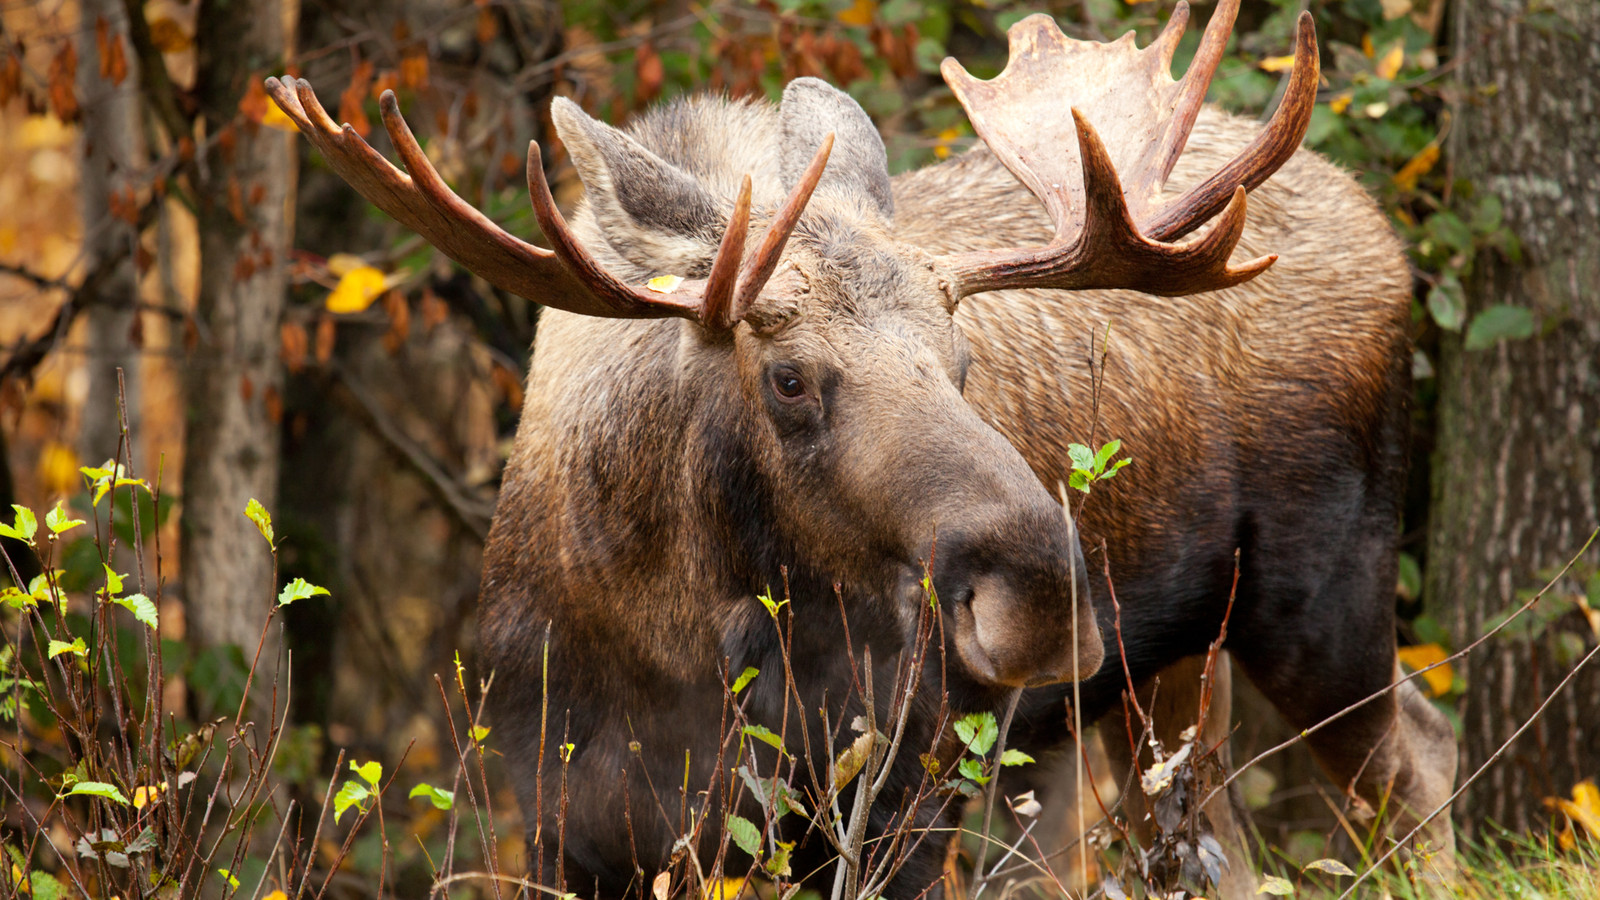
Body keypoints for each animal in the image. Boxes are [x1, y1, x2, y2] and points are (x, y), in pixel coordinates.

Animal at [265, 1, 1458, 896]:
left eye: (961, 357)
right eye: (787, 377)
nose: (1045, 594)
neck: (667, 640)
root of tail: (1380, 224)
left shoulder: (899, 794)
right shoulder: (560, 814)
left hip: (1320, 591)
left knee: (1417, 760)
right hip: (1154, 673)